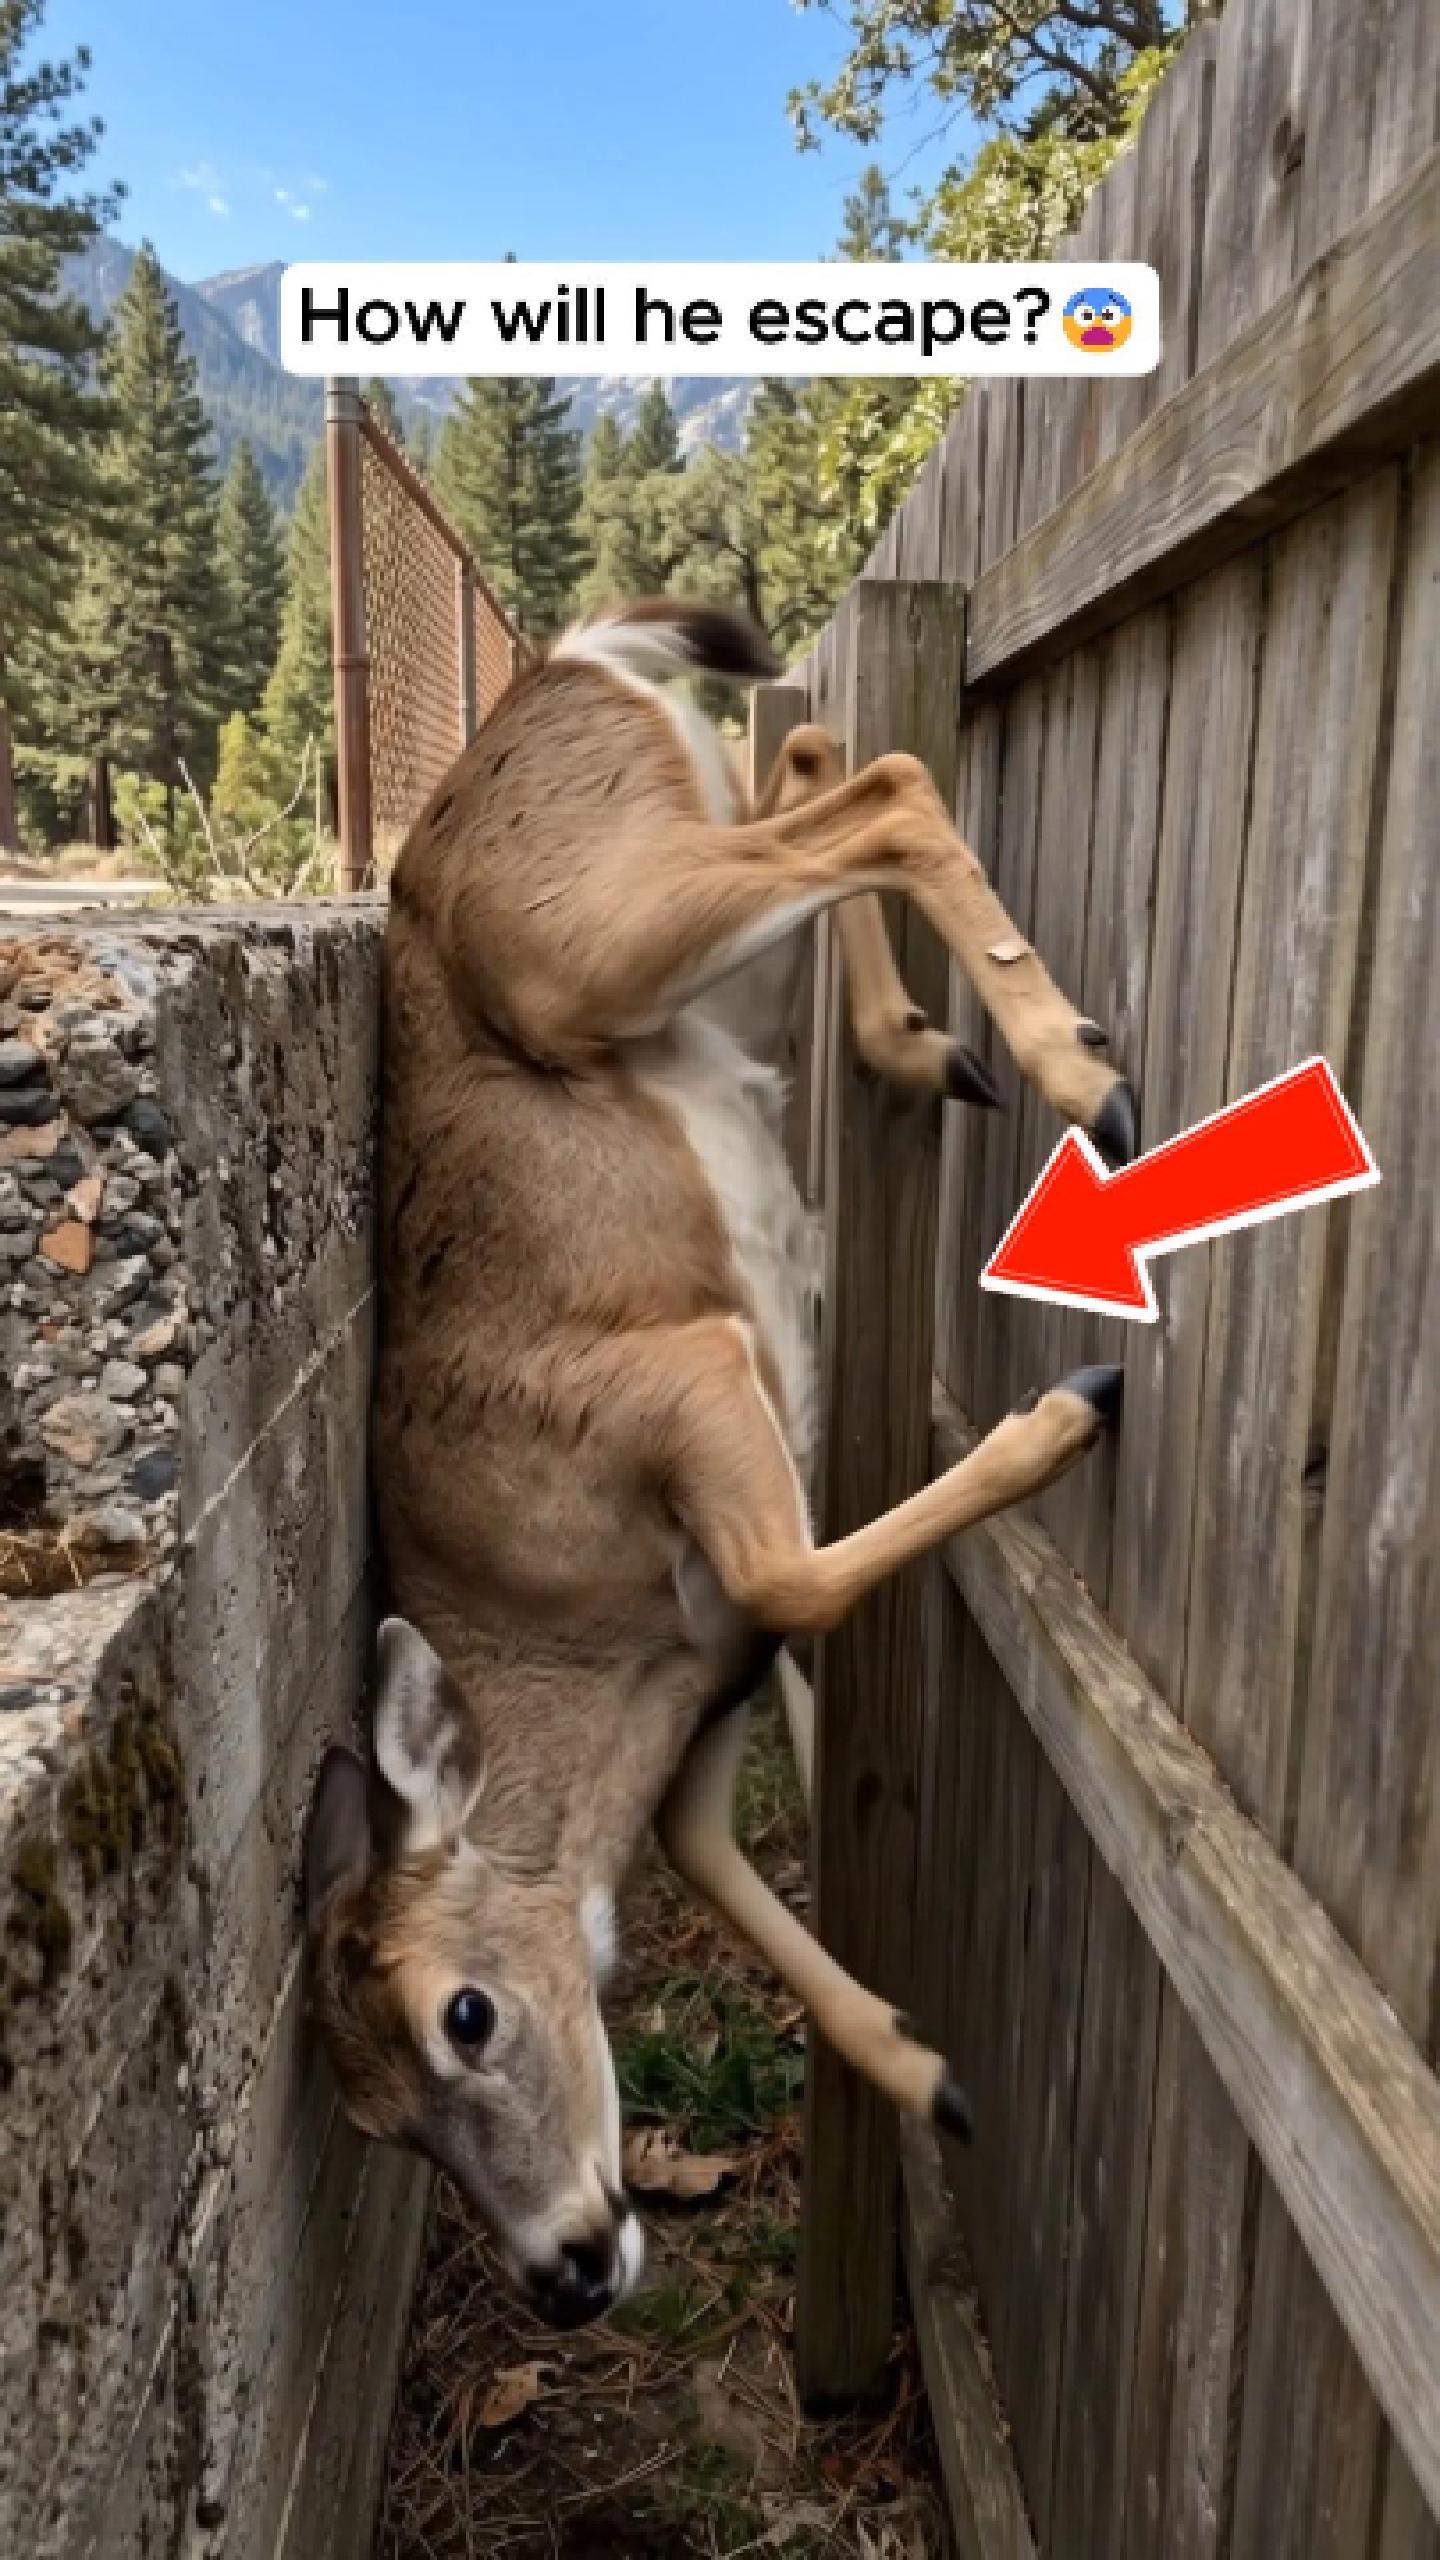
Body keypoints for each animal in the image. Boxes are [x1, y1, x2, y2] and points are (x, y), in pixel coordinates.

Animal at [303, 600, 1136, 2332]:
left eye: (464, 2015)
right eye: (376, 2121)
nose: (565, 2269)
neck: (593, 1667)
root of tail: (573, 656)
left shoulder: (674, 1379)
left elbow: (786, 1574)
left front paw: (1076, 1406)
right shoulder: (700, 1716)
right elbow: (709, 1842)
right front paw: (928, 2069)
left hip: (581, 940)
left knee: (877, 782)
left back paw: (1080, 1068)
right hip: (674, 947)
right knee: (818, 763)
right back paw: (930, 1046)